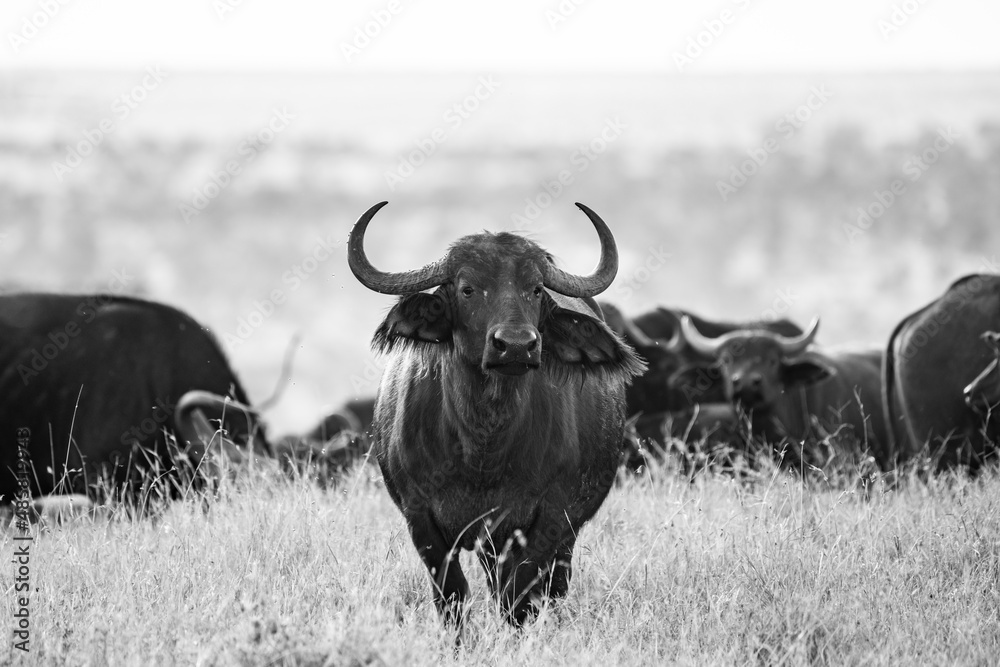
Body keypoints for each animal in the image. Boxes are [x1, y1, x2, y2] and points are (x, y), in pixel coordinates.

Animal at [348, 201, 644, 626]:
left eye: (535, 289)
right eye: (467, 288)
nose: (517, 345)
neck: (483, 446)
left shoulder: (548, 517)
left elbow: (518, 595)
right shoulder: (420, 517)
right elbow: (452, 596)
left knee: (553, 584)